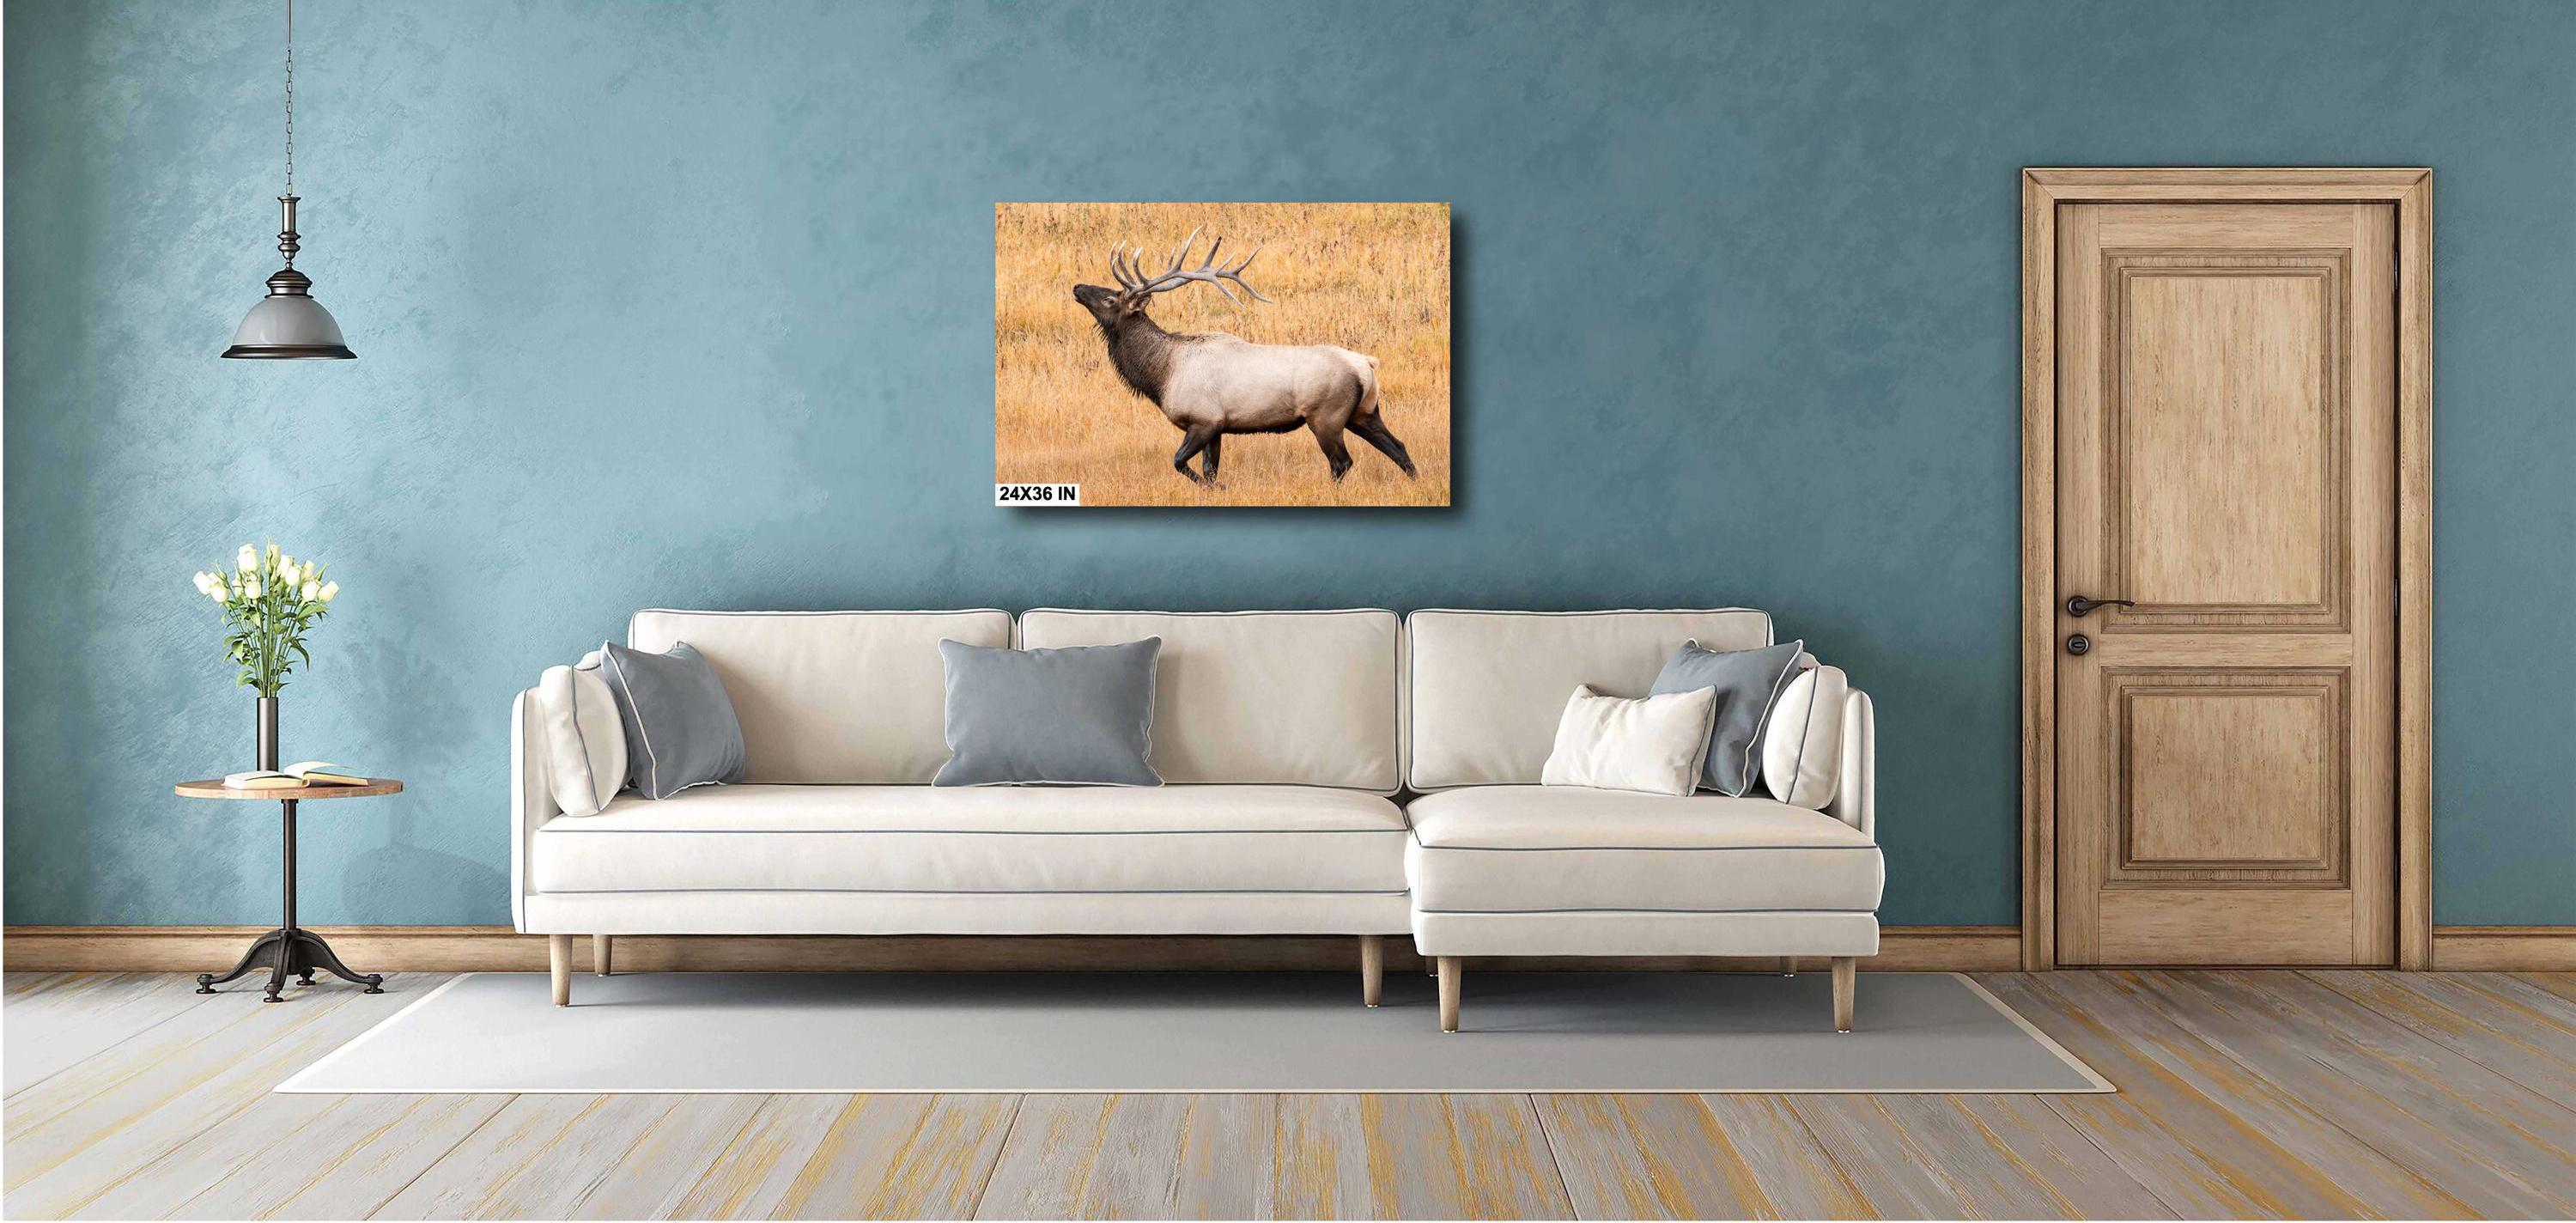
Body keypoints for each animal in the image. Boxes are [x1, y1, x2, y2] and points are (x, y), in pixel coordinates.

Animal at [1071, 228, 1418, 486]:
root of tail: (1366, 366)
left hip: (1326, 416)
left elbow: (1180, 462)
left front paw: (1218, 487)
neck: (1162, 375)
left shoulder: (1204, 420)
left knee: (1342, 462)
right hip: (1364, 412)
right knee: (1398, 447)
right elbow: (1209, 469)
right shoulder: (1215, 426)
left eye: (1110, 298)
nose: (1077, 287)